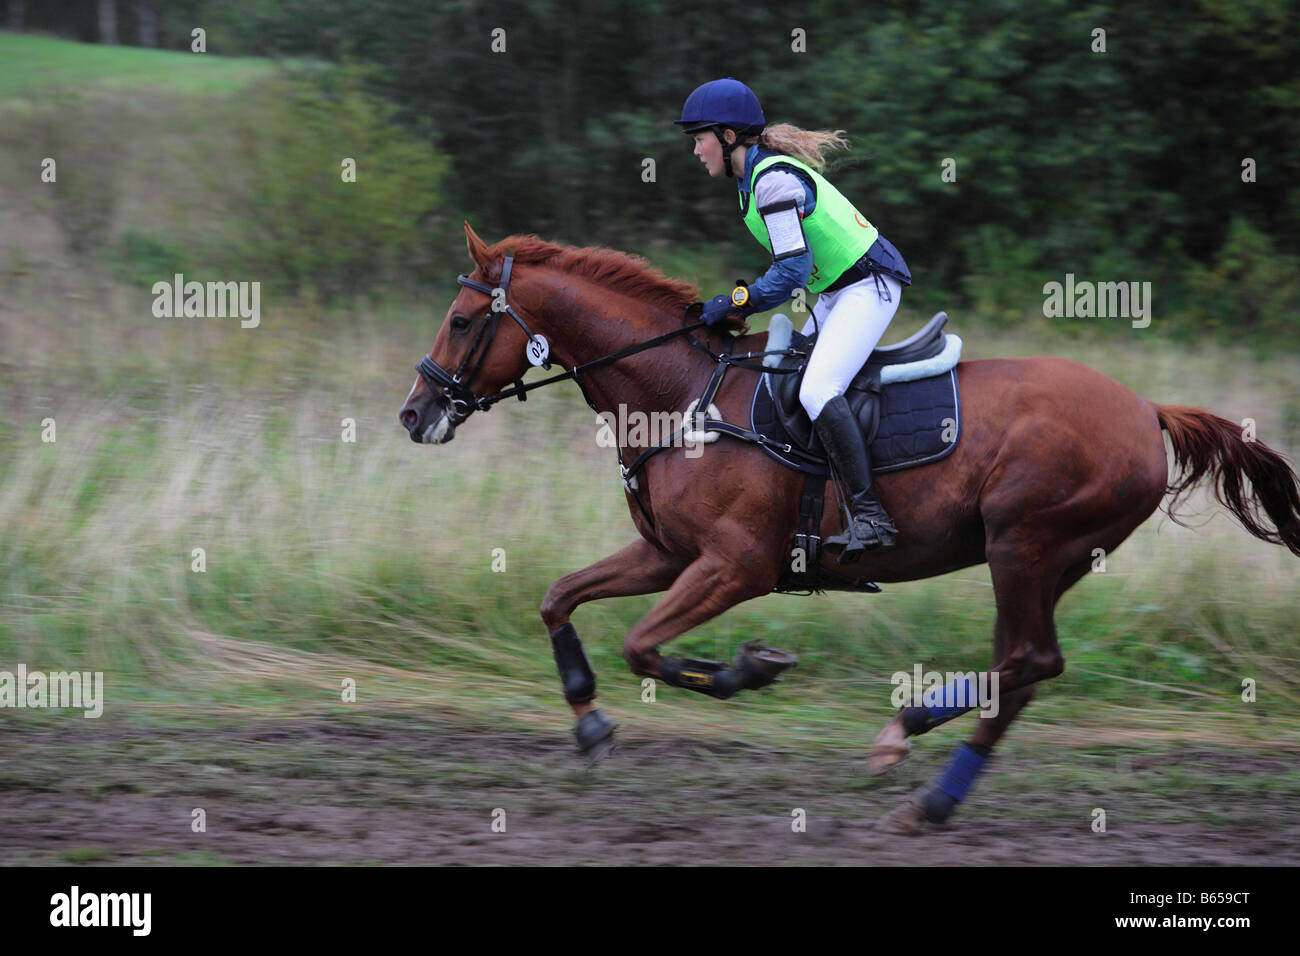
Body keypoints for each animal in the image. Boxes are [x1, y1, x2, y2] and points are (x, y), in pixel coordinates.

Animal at [399, 222, 1300, 833]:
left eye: (461, 319)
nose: (414, 414)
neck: (679, 391)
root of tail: (1146, 409)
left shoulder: (734, 566)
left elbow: (643, 646)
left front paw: (749, 669)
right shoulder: (667, 554)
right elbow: (560, 598)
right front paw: (588, 722)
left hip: (1027, 544)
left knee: (1032, 659)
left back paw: (915, 751)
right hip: (1045, 557)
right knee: (1023, 666)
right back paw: (928, 786)